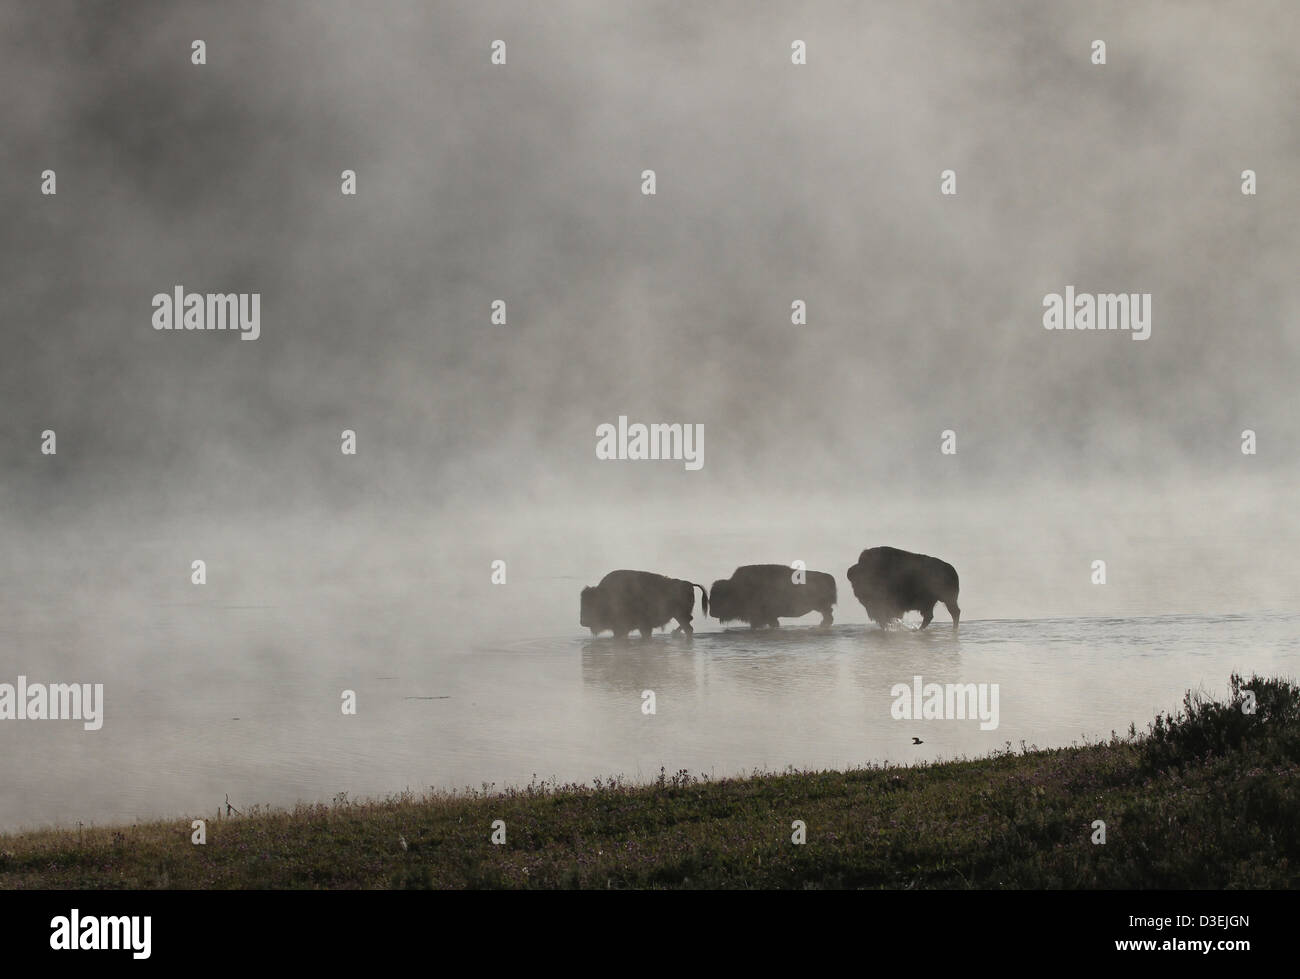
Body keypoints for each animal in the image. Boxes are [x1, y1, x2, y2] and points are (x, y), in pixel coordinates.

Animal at [580, 569, 709, 638]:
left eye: (591, 604)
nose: (583, 622)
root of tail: (689, 584)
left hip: (679, 615)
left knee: (689, 627)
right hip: (679, 615)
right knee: (689, 625)